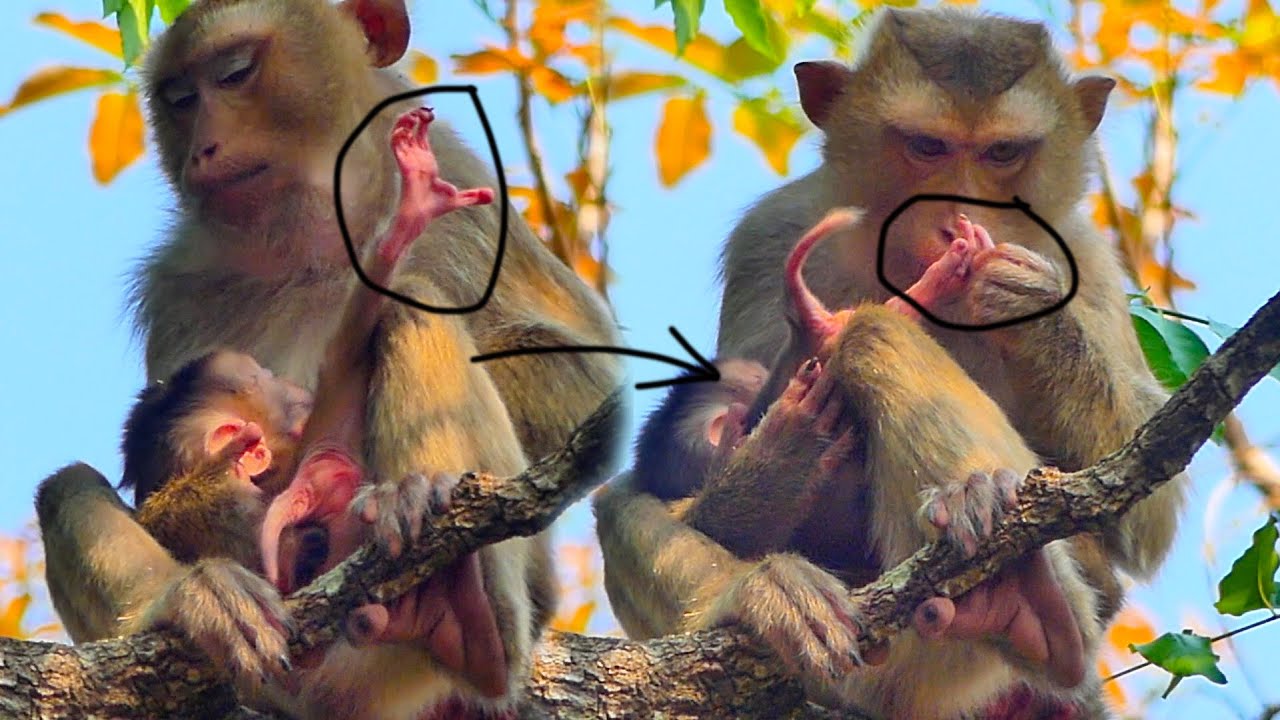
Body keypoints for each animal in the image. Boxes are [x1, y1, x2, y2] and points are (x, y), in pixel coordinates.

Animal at [36, 1, 623, 718]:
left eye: (235, 73)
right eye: (179, 98)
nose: (204, 146)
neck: (314, 236)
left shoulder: (472, 215)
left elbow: (588, 384)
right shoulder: (178, 285)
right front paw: (204, 501)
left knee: (415, 307)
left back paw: (451, 584)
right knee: (66, 486)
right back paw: (197, 605)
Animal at [596, 5, 1172, 717]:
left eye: (1002, 152)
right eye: (926, 146)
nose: (956, 221)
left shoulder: (1083, 258)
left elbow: (1142, 517)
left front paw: (1024, 298)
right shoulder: (771, 233)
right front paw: (780, 453)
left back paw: (1018, 597)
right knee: (620, 500)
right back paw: (771, 599)